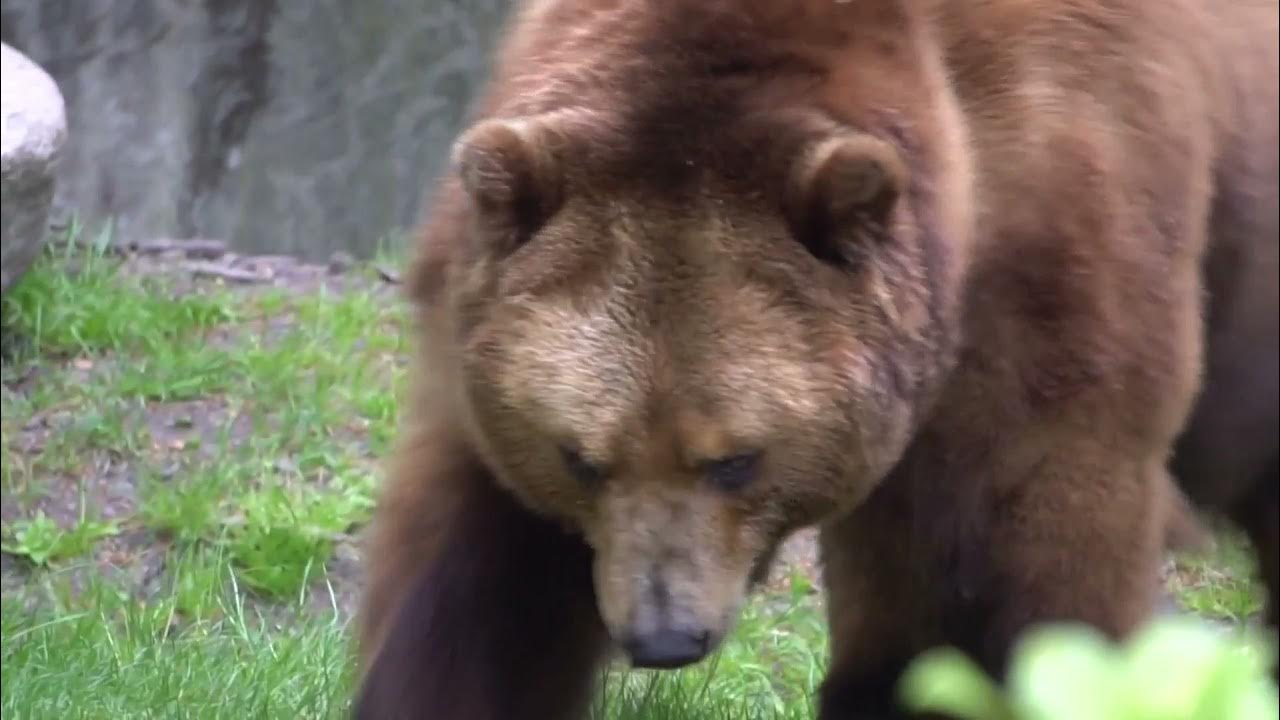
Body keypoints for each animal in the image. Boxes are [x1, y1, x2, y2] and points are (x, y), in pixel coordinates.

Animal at [352, 0, 1278, 718]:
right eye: (580, 457)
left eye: (735, 459)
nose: (664, 636)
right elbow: (479, 583)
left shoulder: (1049, 270)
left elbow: (1009, 570)